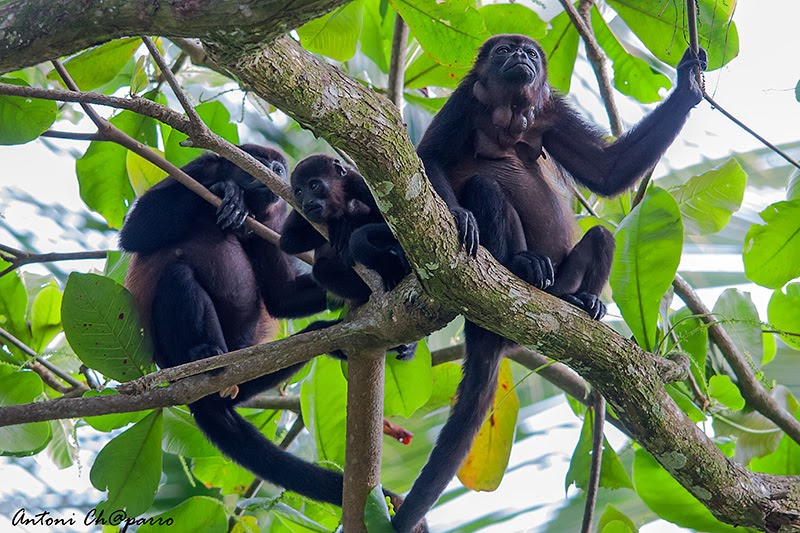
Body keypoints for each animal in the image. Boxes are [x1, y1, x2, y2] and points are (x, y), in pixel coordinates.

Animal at [279, 154, 416, 361]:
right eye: (299, 191)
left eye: (313, 186)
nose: (308, 202)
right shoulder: (299, 209)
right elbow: (288, 240)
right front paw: (338, 224)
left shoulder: (359, 184)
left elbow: (392, 222)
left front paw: (347, 221)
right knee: (321, 270)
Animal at [390, 35, 708, 532]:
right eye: (504, 50)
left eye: (531, 54)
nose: (521, 56)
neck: (508, 112)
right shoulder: (464, 99)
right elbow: (432, 157)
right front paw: (459, 215)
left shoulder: (551, 110)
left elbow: (607, 172)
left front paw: (688, 84)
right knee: (484, 188)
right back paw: (523, 265)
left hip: (568, 273)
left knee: (600, 236)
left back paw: (580, 301)